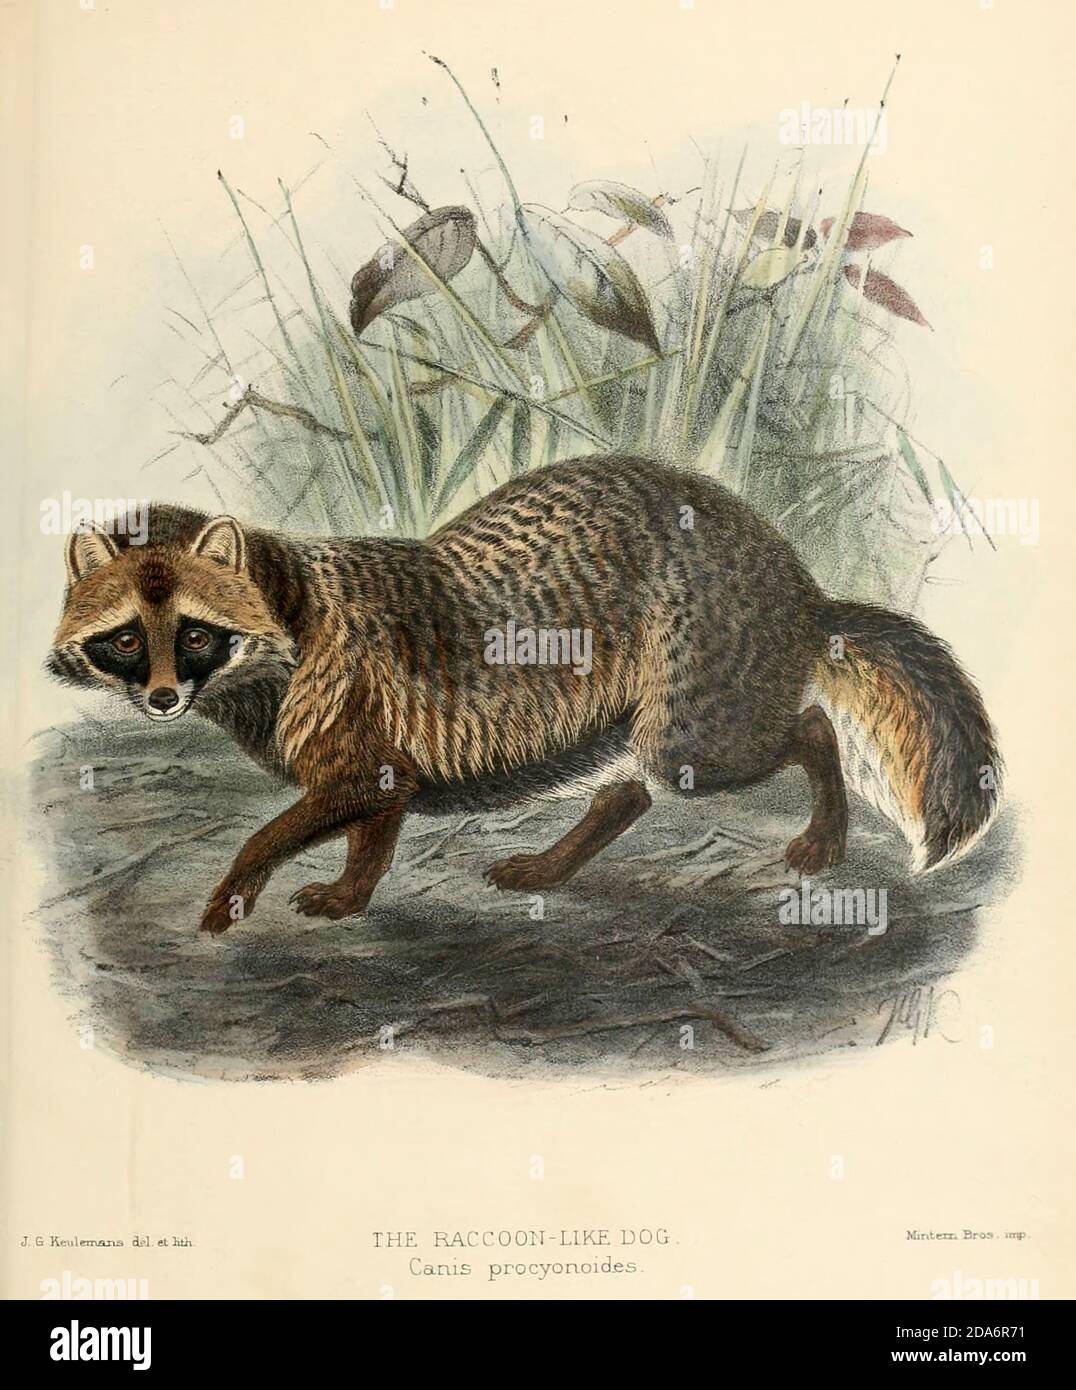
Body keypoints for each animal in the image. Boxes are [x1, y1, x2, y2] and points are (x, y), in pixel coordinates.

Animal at [47, 456, 1001, 934]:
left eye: (195, 632)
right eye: (126, 637)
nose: (162, 700)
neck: (290, 604)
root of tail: (798, 585)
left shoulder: (352, 727)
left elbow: (278, 827)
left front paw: (234, 890)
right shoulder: (385, 753)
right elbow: (375, 827)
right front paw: (351, 892)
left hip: (694, 709)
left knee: (797, 729)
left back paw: (823, 822)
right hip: (615, 715)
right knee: (623, 792)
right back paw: (553, 861)